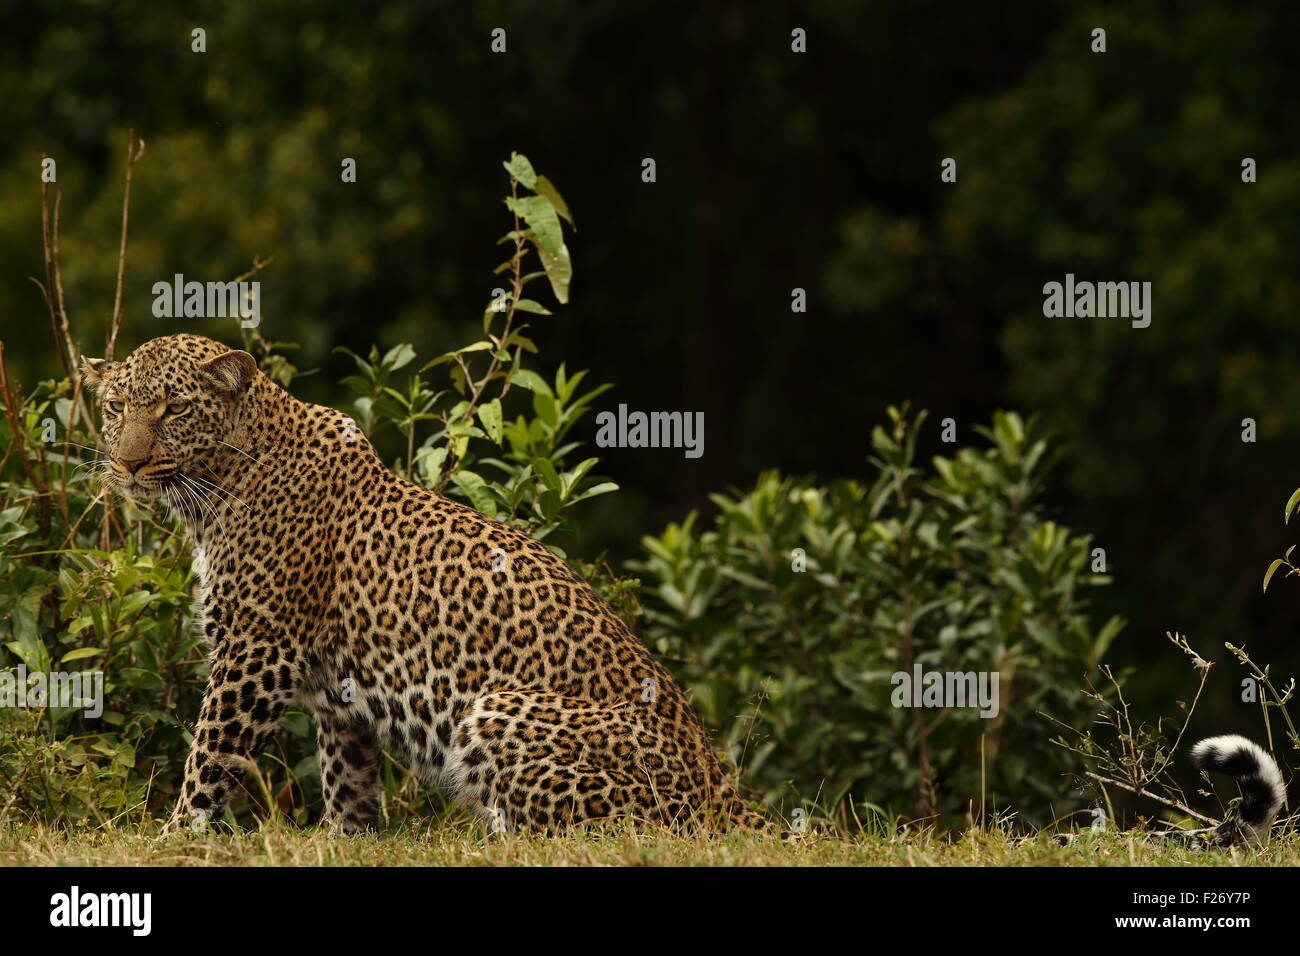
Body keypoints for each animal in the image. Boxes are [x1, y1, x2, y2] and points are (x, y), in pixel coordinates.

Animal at [82, 333, 768, 835]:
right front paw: (348, 837)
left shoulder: (256, 648)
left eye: (174, 409)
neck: (217, 489)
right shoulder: (336, 691)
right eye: (116, 409)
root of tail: (725, 792)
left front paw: (175, 834)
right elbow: (346, 772)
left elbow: (210, 754)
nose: (128, 463)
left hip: (497, 710)